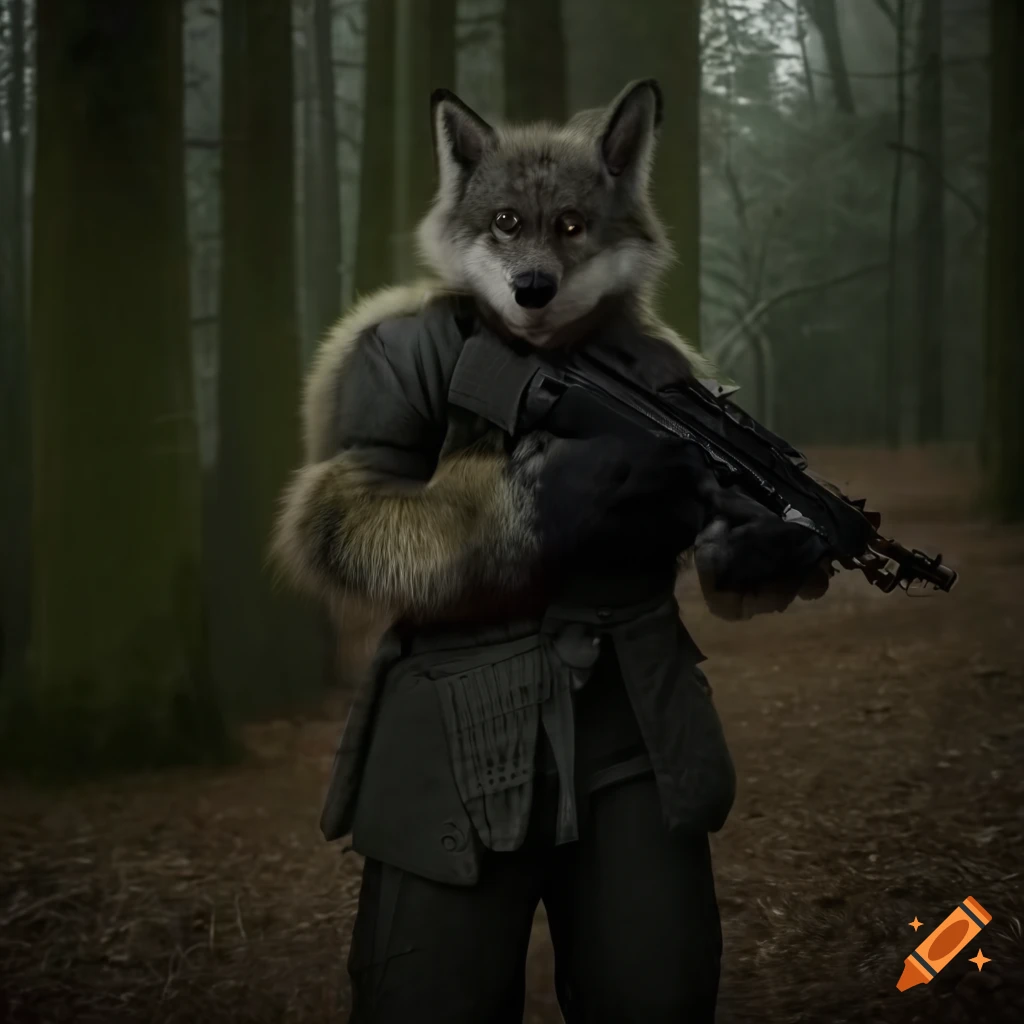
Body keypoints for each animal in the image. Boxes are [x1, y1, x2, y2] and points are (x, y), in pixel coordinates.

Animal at [273, 79, 828, 1024]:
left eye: (571, 224)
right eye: (504, 221)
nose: (532, 289)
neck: (552, 360)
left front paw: (759, 546)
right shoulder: (380, 380)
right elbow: (346, 508)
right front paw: (578, 486)